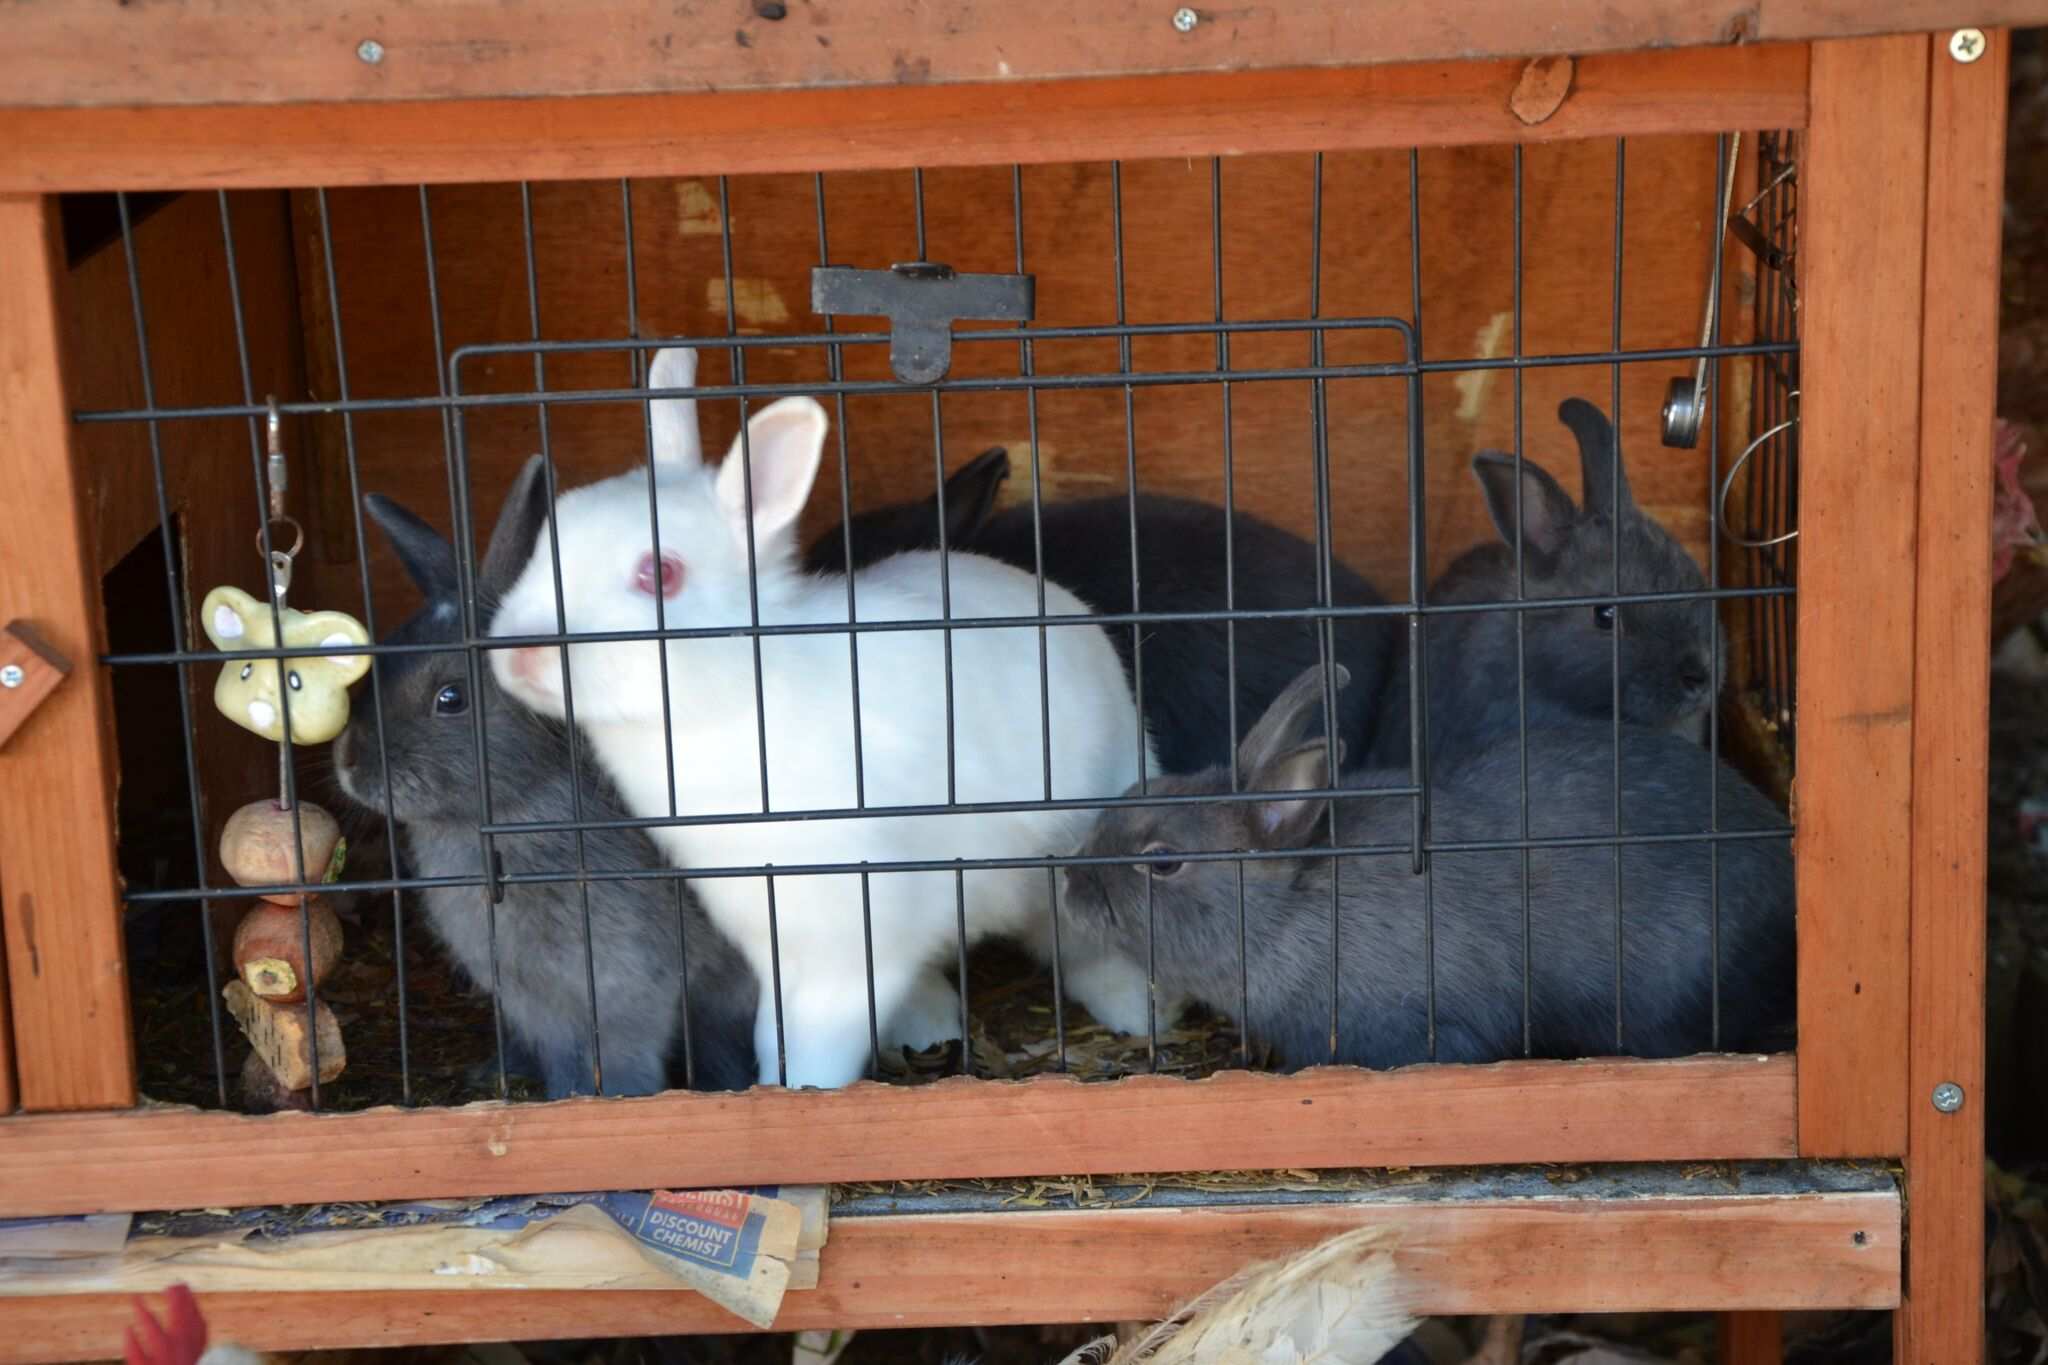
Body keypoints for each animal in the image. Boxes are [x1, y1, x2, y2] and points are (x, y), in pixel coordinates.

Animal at [332, 453, 759, 1098]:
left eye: (451, 698)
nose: (349, 762)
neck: (509, 819)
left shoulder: (624, 990)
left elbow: (624, 1059)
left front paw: (622, 1100)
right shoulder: (536, 1004)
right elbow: (564, 1063)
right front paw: (562, 1100)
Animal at [486, 346, 1162, 1089]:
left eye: (660, 573)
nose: (518, 653)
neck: (732, 703)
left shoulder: (848, 935)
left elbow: (820, 1042)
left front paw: (802, 1096)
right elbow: (772, 1028)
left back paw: (1141, 1011)